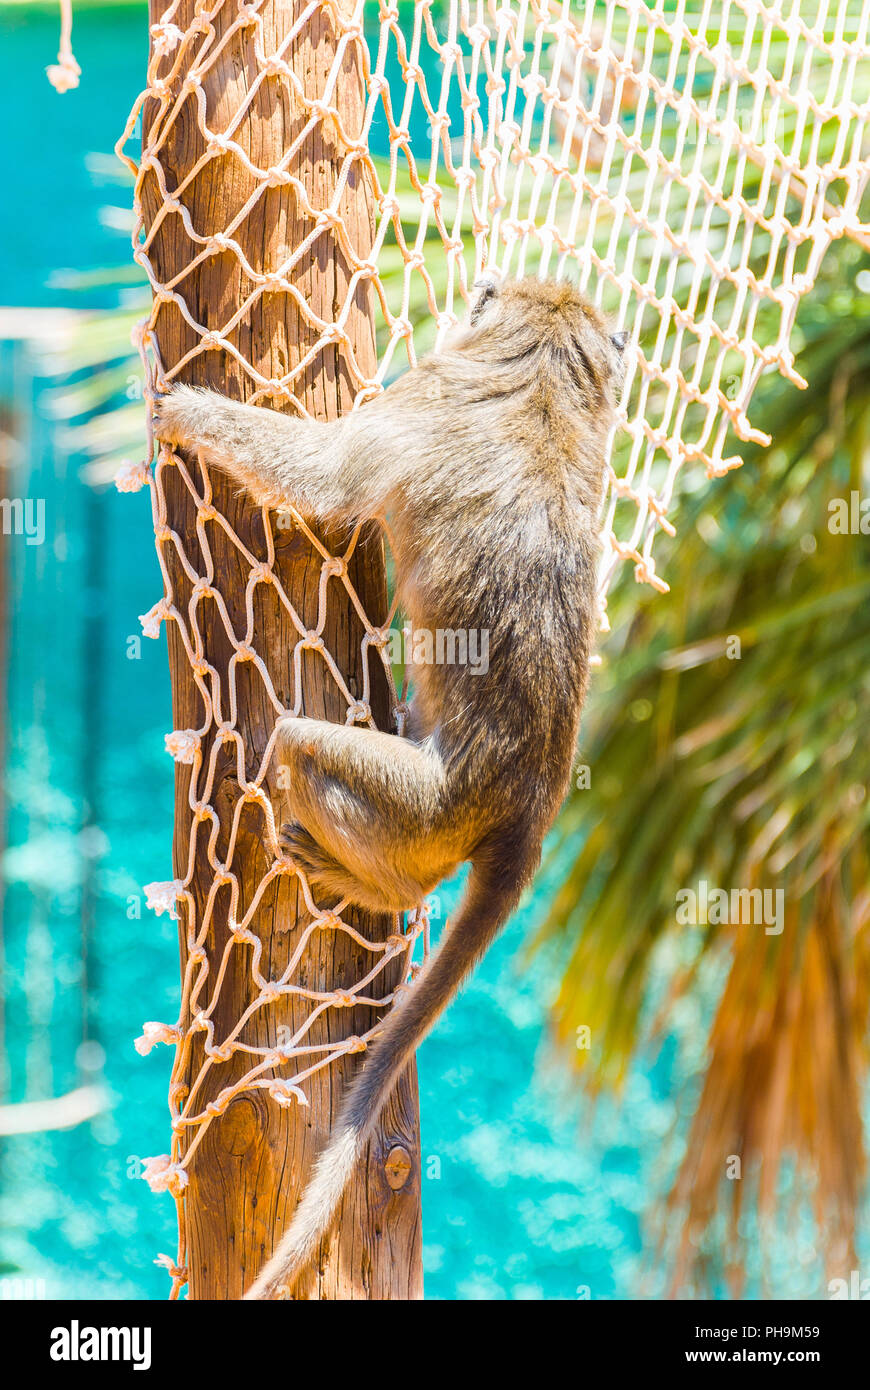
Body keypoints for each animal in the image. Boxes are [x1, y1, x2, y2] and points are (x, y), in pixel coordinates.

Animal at [153, 275, 629, 1299]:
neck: (545, 376)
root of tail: (527, 810)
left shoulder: (422, 404)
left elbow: (326, 482)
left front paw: (192, 413)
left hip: (422, 811)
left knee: (301, 745)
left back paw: (370, 881)